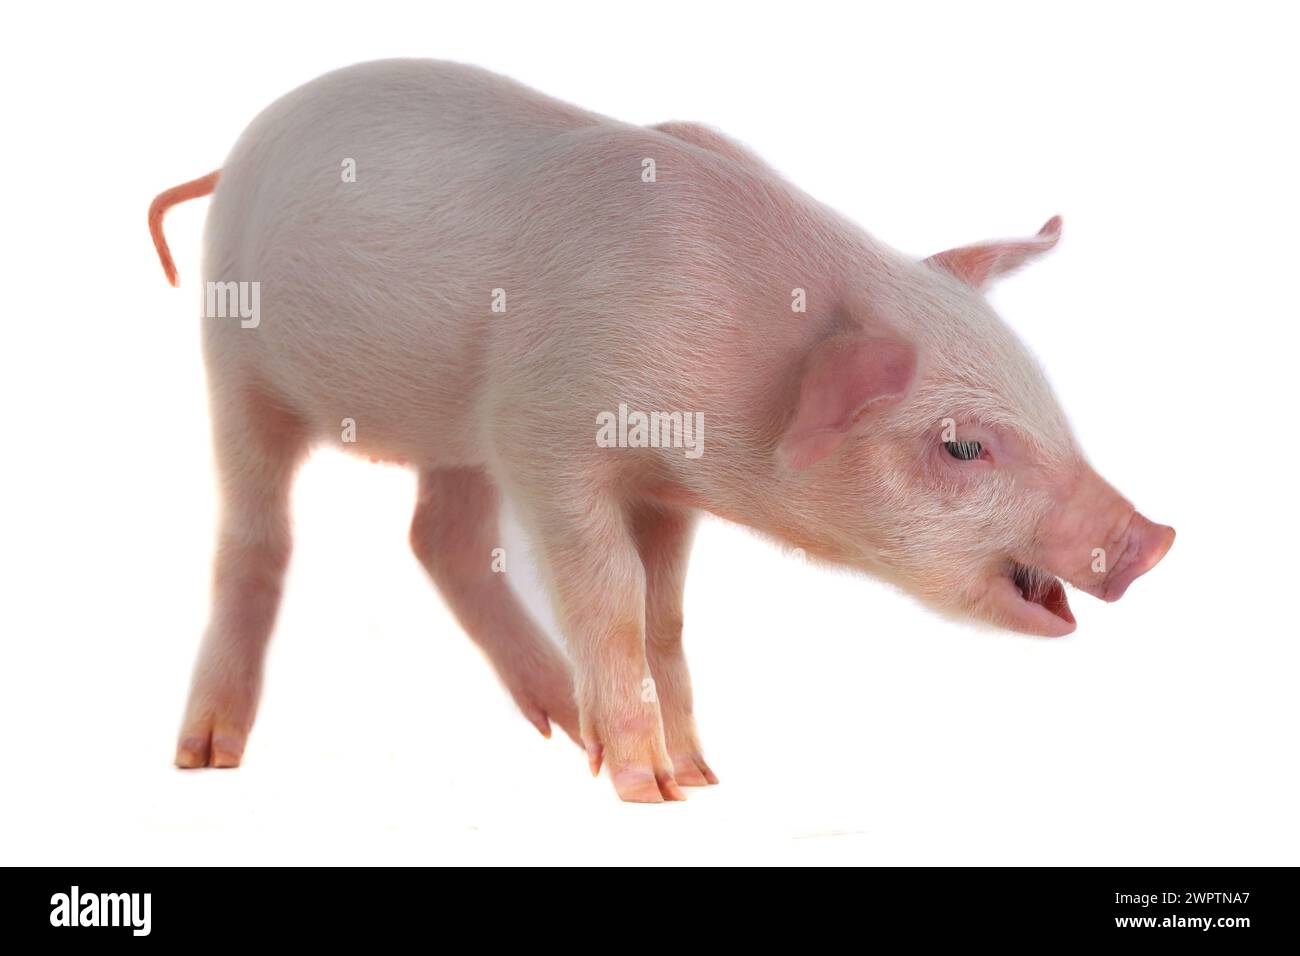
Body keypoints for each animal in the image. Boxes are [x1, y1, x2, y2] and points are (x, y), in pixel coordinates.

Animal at [150, 59, 1174, 802]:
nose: (1153, 538)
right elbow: (609, 597)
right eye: (962, 445)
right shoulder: (548, 436)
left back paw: (560, 725)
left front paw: (703, 778)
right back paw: (208, 757)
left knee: (439, 537)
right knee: (256, 536)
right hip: (230, 356)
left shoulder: (663, 488)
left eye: (1048, 398)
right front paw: (647, 790)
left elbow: (665, 615)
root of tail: (233, 154)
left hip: (457, 428)